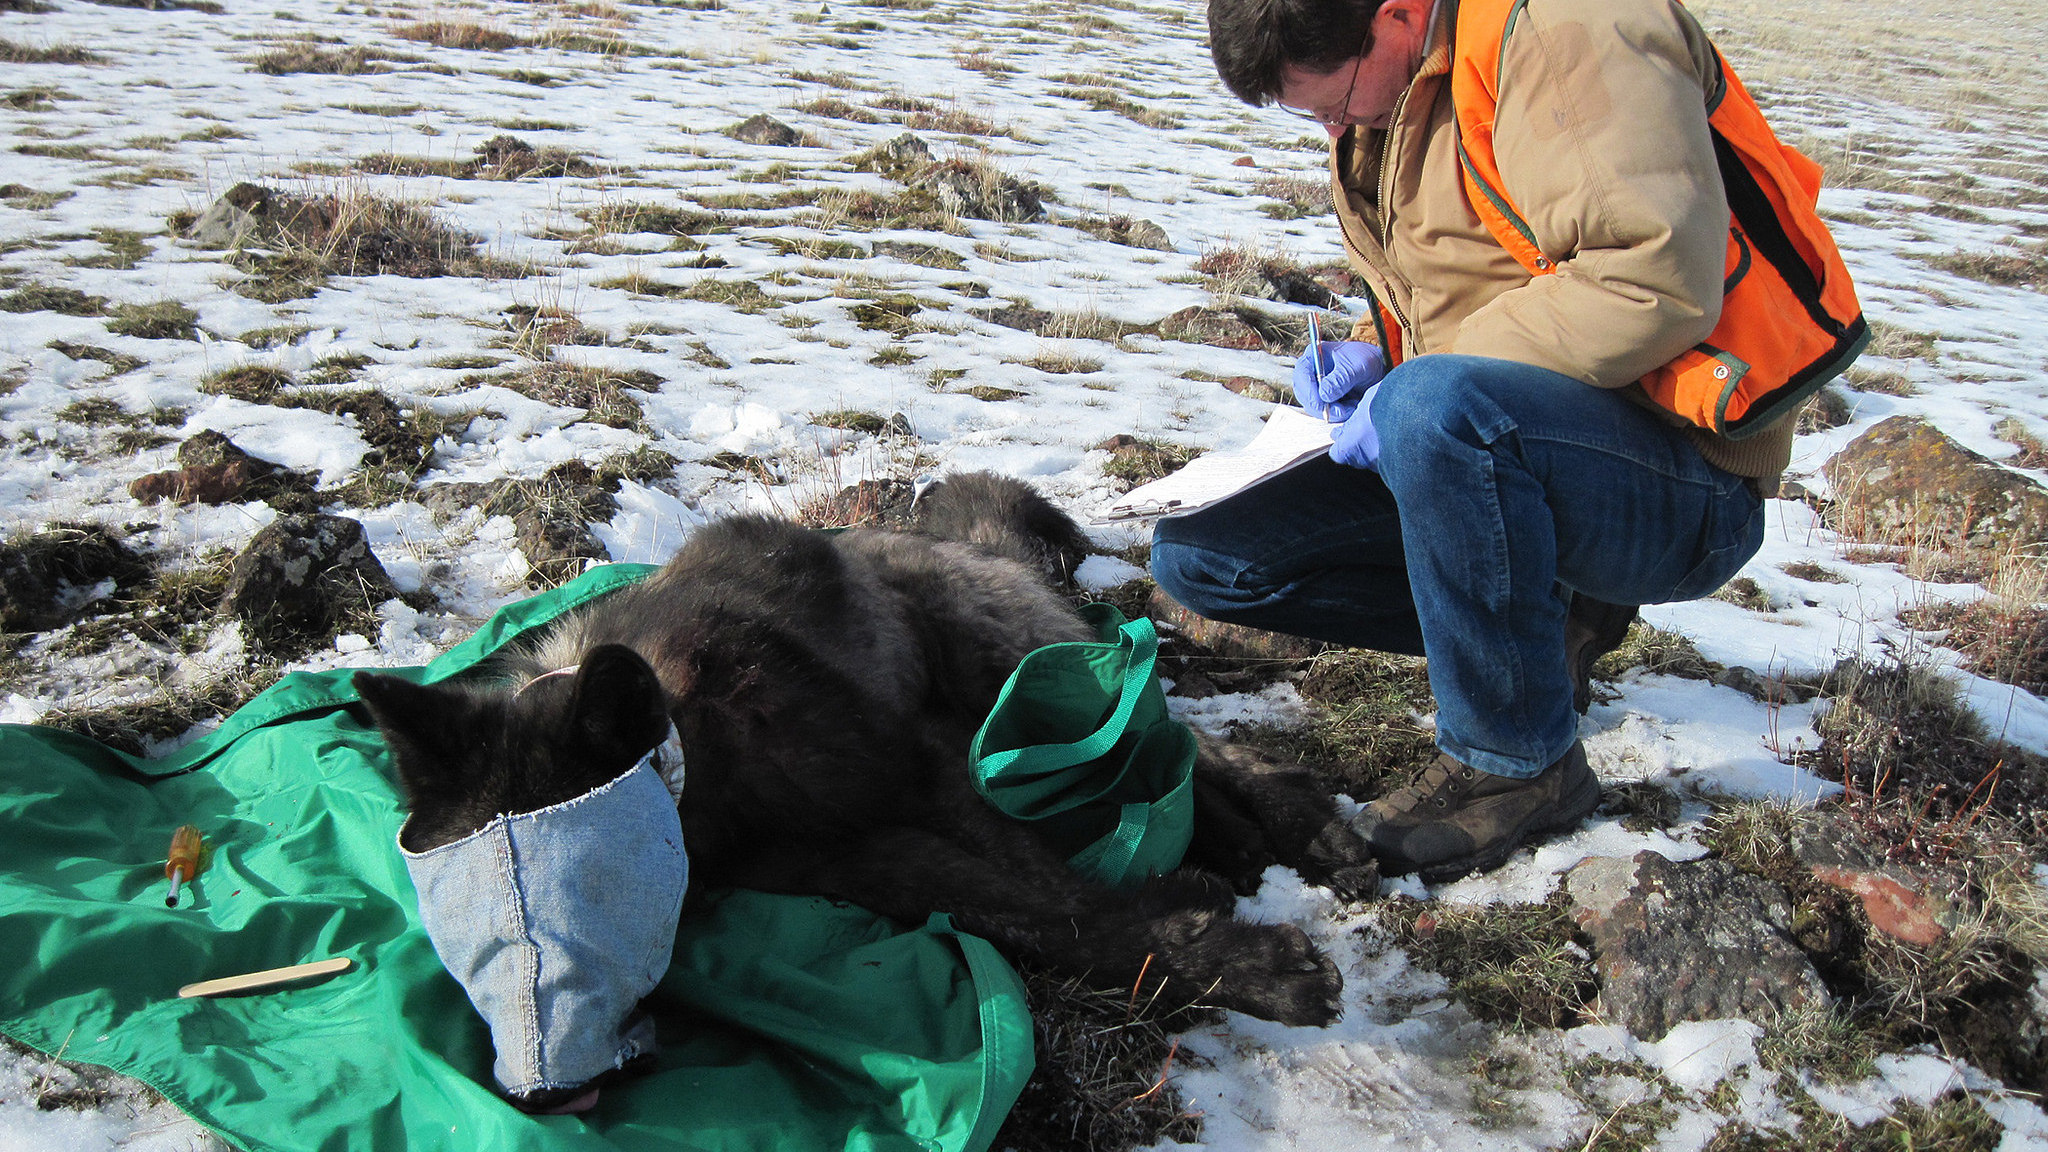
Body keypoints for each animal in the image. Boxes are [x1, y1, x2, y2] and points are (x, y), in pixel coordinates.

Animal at [354, 473, 1374, 1111]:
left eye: (592, 903)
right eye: (463, 947)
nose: (548, 1097)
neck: (697, 748)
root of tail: (923, 530)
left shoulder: (927, 768)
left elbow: (1063, 904)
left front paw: (1232, 959)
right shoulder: (860, 860)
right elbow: (1023, 915)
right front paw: (1199, 924)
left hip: (1000, 660)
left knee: (1181, 735)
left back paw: (1296, 823)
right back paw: (1236, 840)